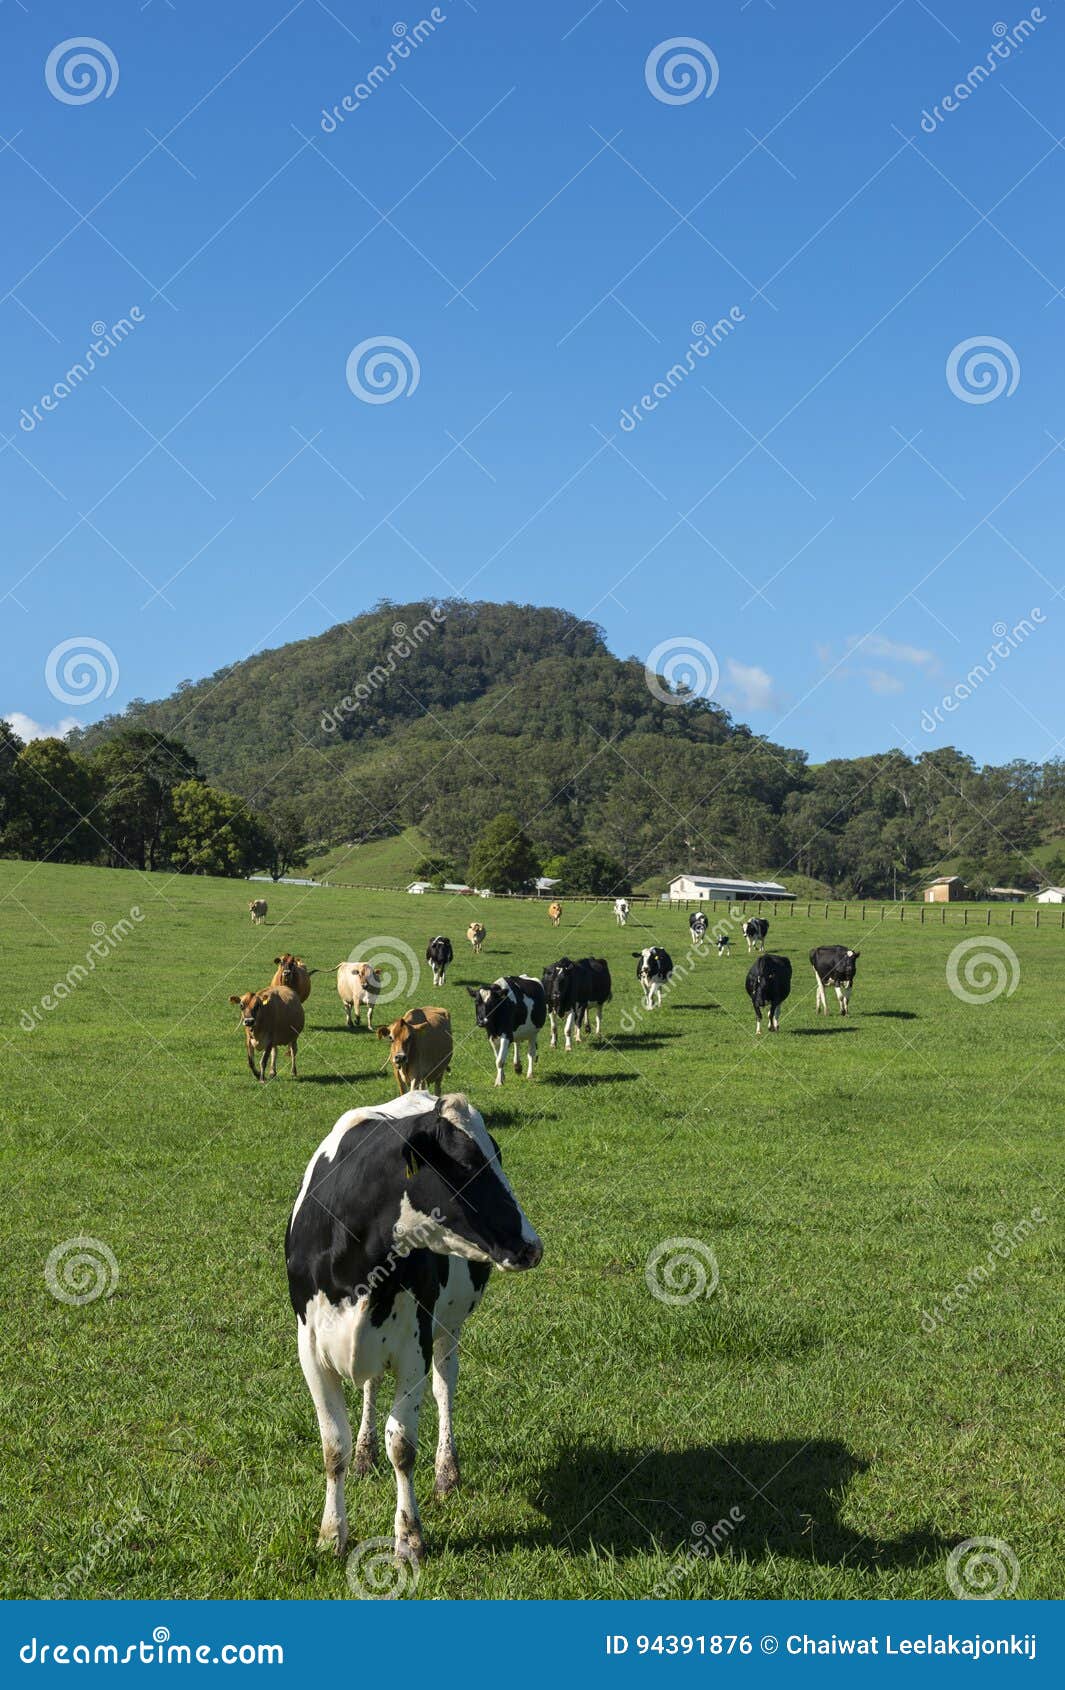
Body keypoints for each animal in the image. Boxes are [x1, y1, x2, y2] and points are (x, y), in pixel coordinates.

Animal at [285, 1091, 542, 1564]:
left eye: (498, 1156)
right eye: (468, 1164)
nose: (532, 1247)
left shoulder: (414, 1348)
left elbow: (402, 1447)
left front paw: (409, 1538)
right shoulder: (309, 1349)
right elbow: (333, 1445)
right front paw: (331, 1533)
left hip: (447, 1329)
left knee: (445, 1388)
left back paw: (447, 1472)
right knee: (370, 1386)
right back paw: (365, 1454)